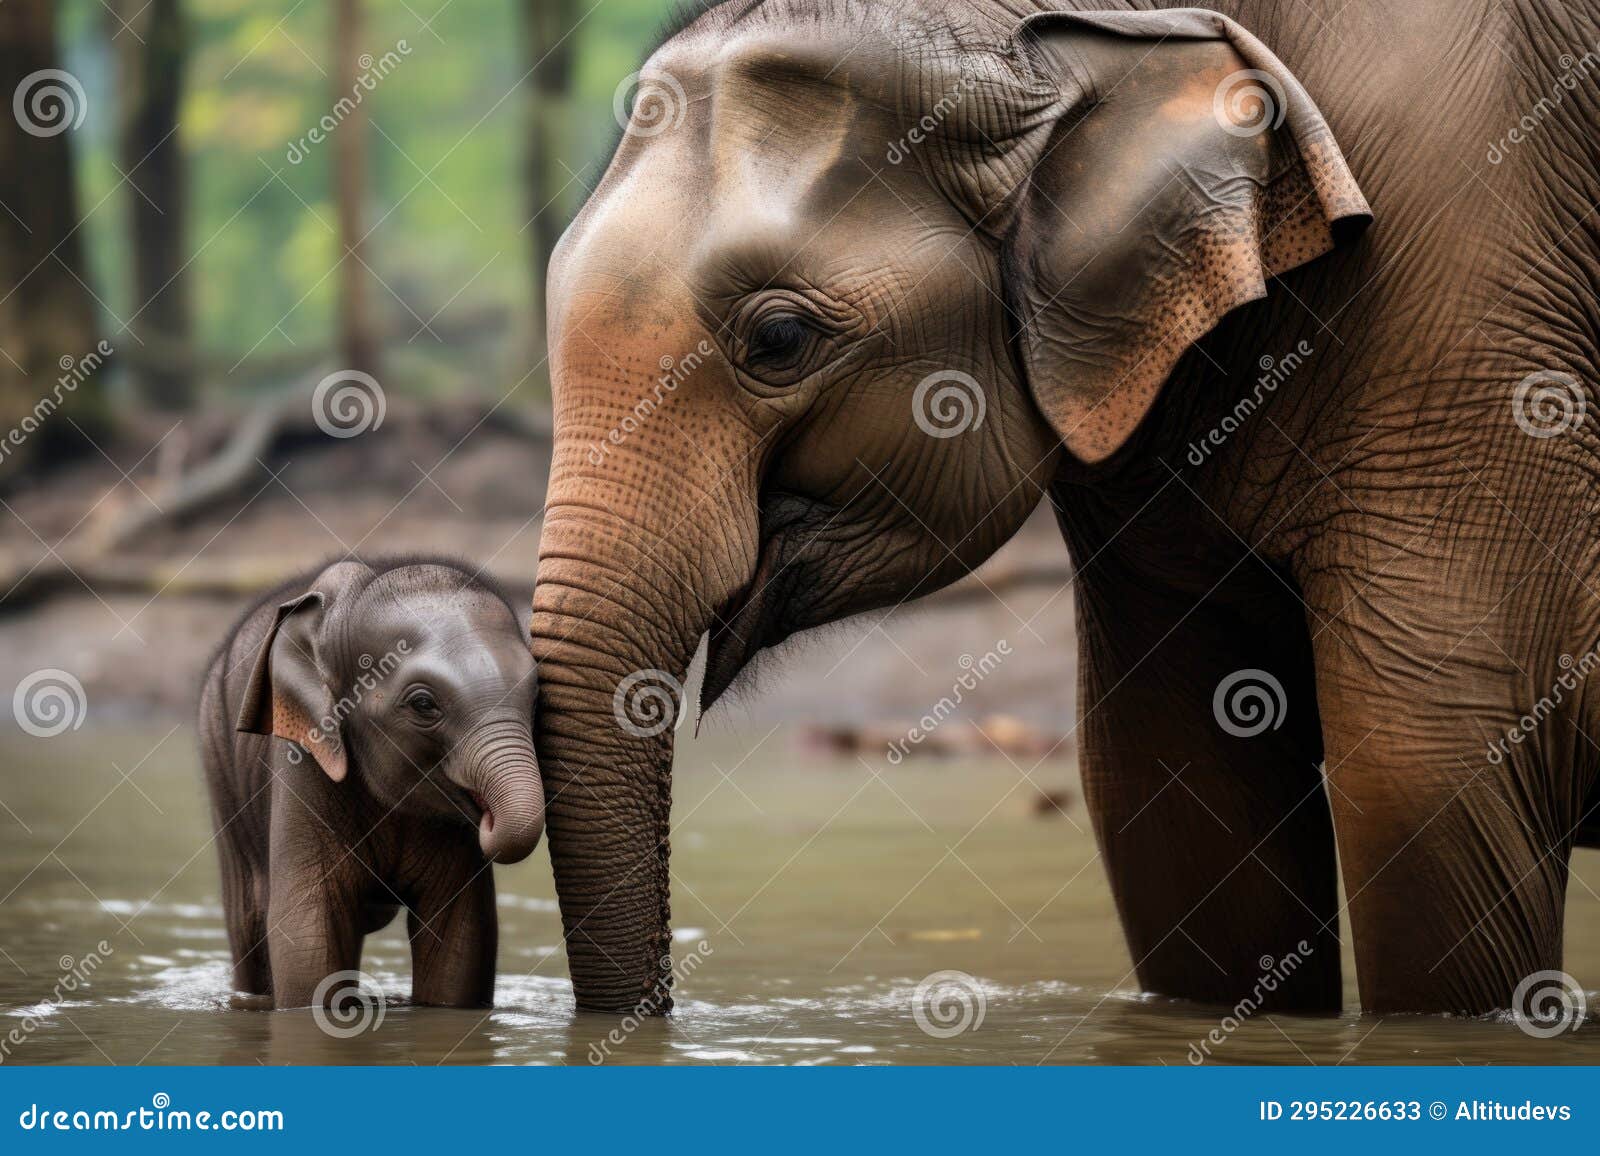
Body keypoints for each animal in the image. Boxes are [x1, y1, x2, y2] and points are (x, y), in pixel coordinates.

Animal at [201, 557, 544, 1009]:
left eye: (537, 695)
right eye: (423, 704)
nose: (485, 821)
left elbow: (461, 933)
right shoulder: (303, 760)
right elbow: (309, 929)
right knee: (247, 922)